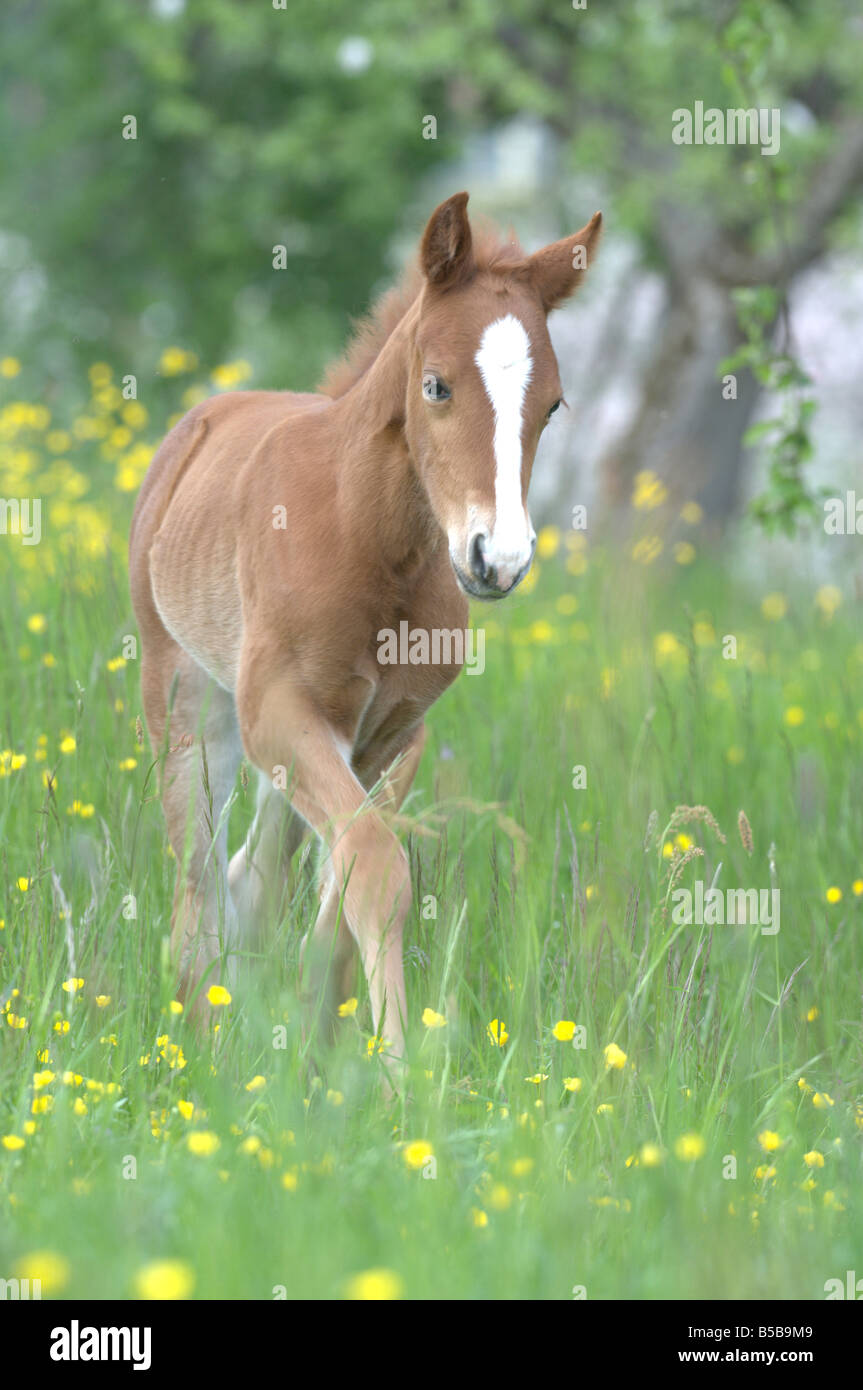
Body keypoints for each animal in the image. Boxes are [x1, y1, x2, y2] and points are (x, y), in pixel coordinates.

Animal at [129, 191, 601, 1073]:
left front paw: (323, 1046)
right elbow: (375, 866)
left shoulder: (391, 734)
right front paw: (396, 1072)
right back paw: (201, 1039)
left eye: (551, 404)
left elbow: (348, 872)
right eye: (436, 385)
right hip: (187, 699)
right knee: (198, 873)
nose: (498, 559)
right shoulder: (277, 712)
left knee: (252, 876)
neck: (369, 540)